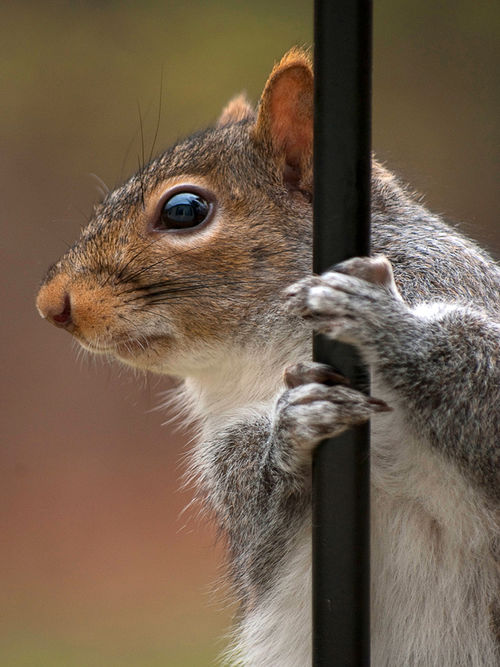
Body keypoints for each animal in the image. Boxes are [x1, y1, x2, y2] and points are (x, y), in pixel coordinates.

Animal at [36, 49, 499, 666]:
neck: (266, 350)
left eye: (184, 210)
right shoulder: (231, 454)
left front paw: (383, 320)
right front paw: (290, 434)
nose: (52, 305)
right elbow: (255, 523)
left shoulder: (454, 283)